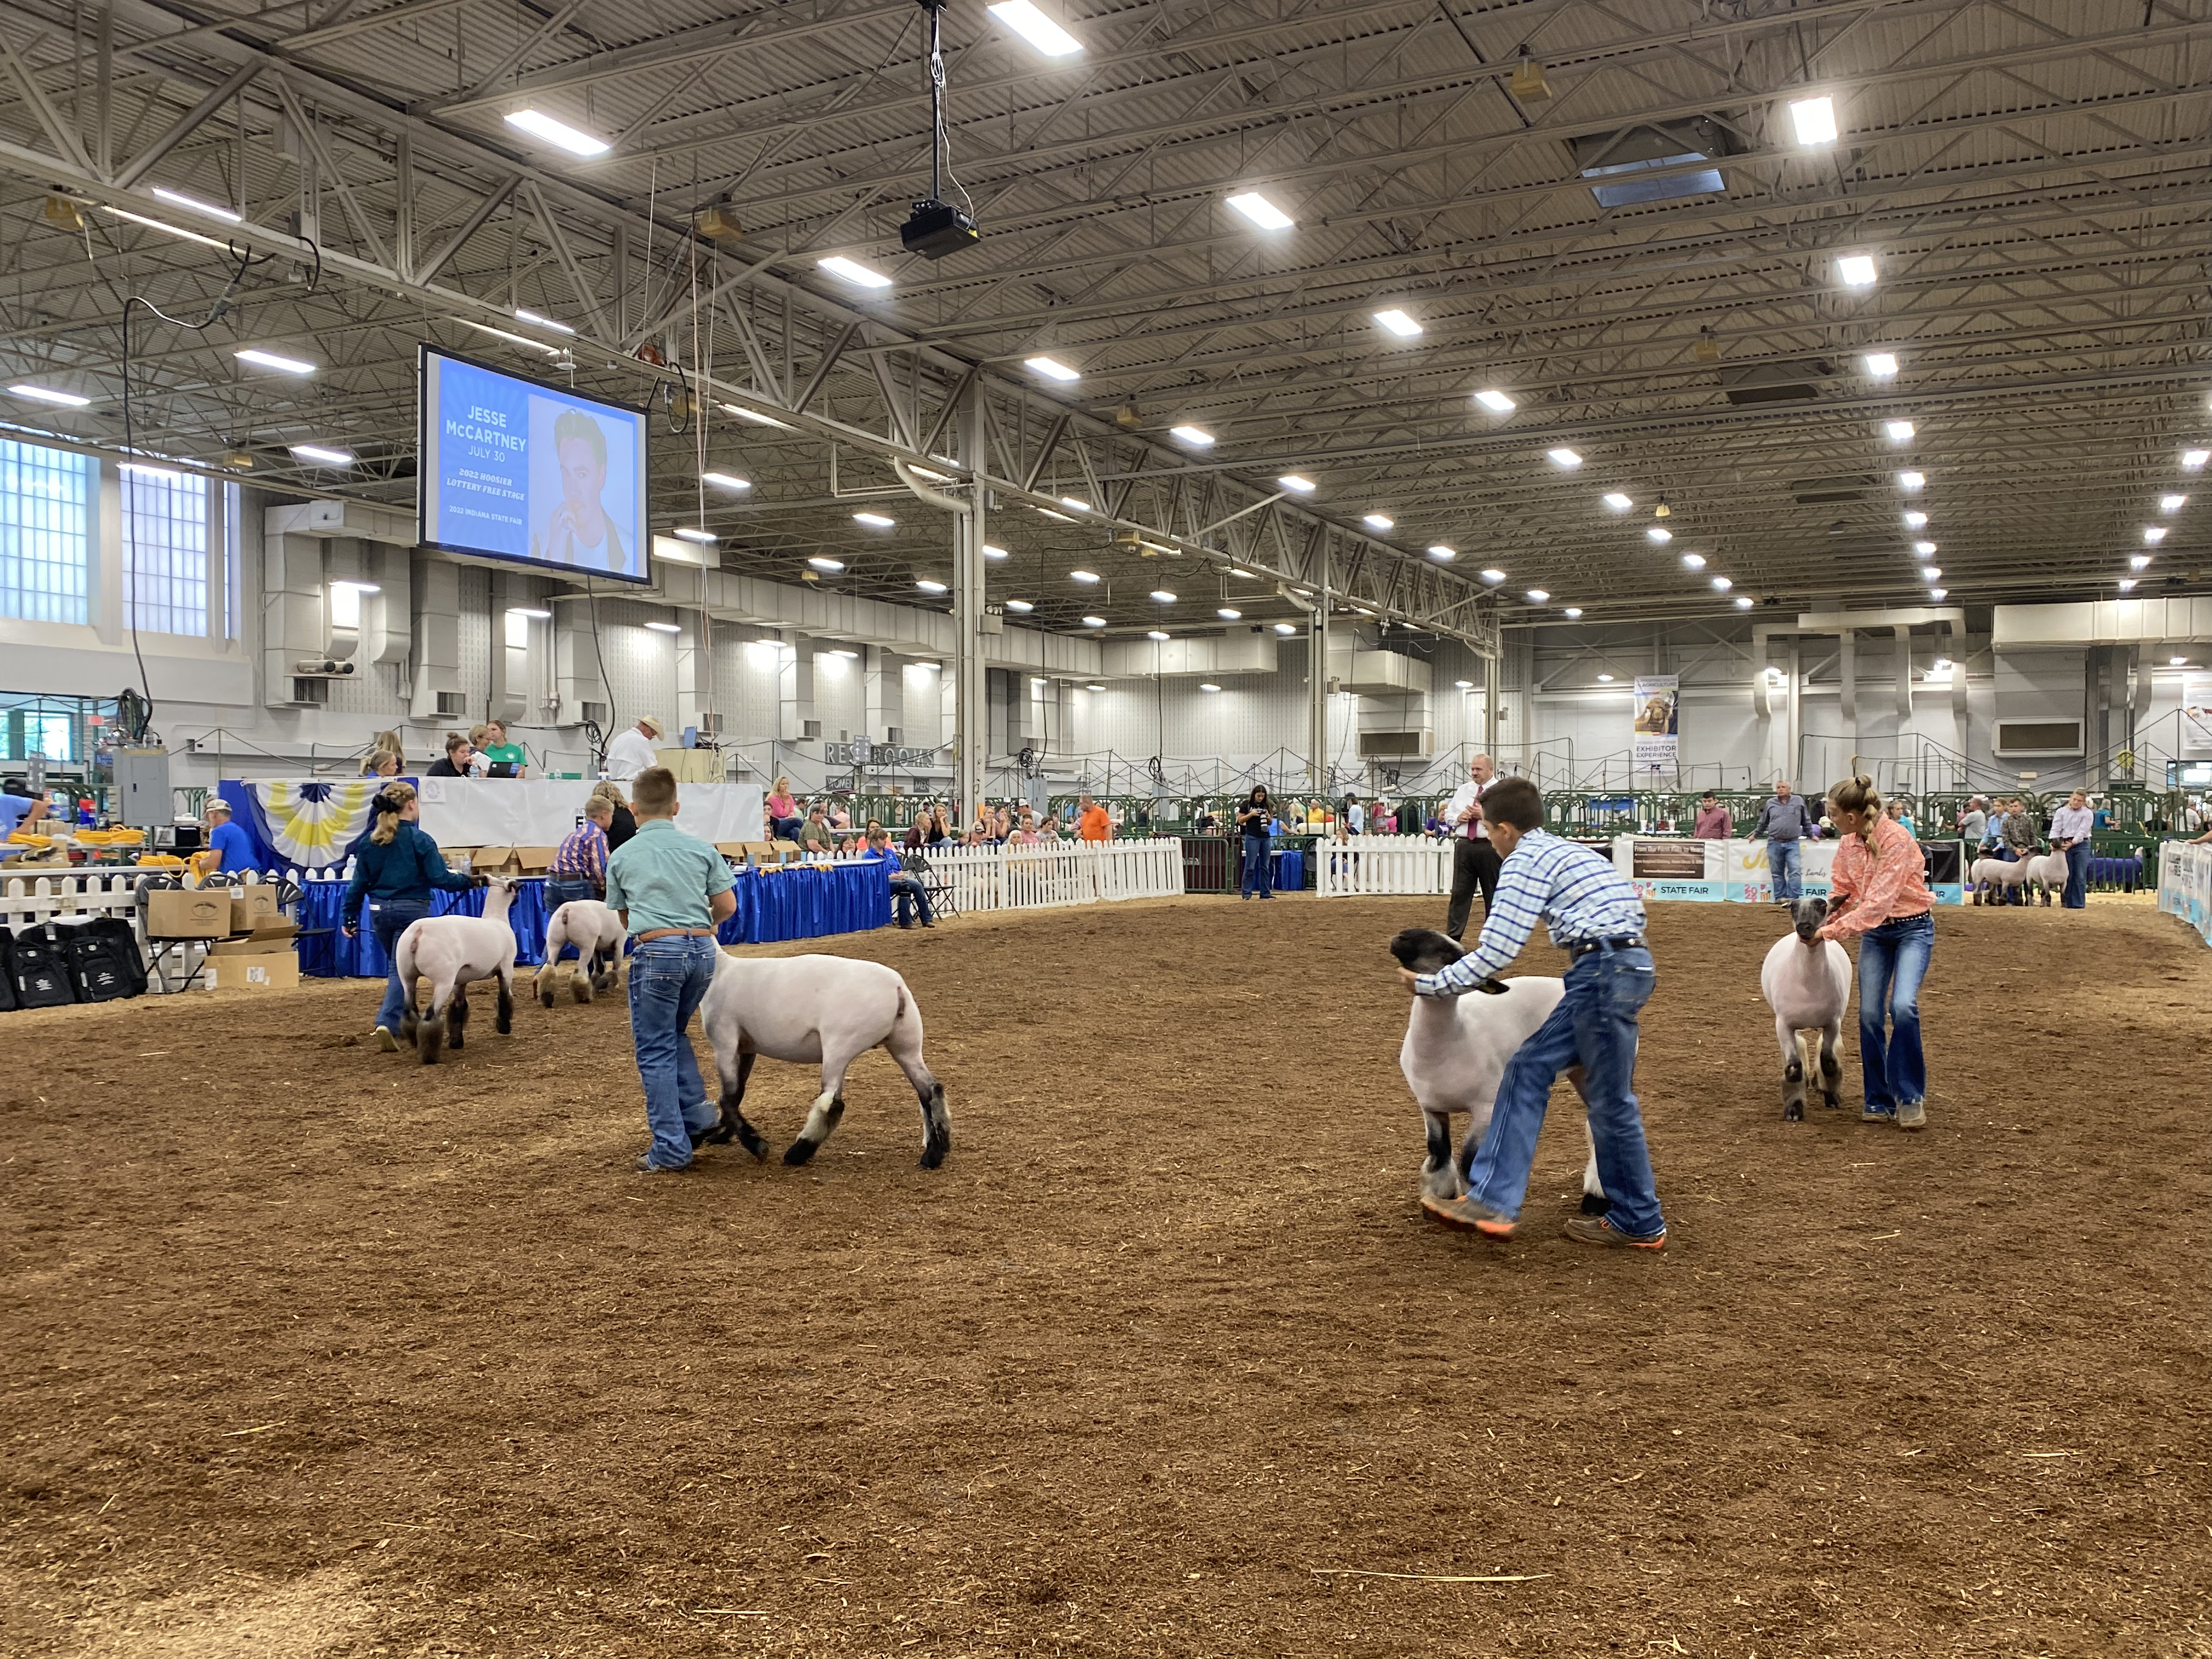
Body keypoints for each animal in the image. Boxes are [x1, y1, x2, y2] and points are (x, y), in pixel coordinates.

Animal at [394, 878, 518, 1064]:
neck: (497, 918)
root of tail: (419, 931)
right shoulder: (506, 969)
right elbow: (504, 998)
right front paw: (504, 1027)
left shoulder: (461, 980)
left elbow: (458, 1007)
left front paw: (456, 1042)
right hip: (443, 980)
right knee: (430, 1014)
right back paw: (430, 1056)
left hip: (407, 976)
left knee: (409, 1011)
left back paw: (416, 1042)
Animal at [535, 899, 625, 1006]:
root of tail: (567, 911)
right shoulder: (620, 943)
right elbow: (616, 967)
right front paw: (609, 985)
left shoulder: (597, 947)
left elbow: (600, 966)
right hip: (586, 945)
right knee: (579, 972)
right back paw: (584, 998)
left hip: (554, 941)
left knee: (548, 967)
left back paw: (547, 997)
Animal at [699, 952, 949, 1169]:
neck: (721, 969)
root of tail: (897, 988)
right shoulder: (747, 1048)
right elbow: (737, 1094)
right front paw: (721, 1134)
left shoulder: (725, 1042)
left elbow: (728, 1098)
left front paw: (755, 1144)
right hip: (906, 1046)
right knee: (930, 1090)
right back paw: (934, 1153)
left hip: (839, 1046)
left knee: (833, 1103)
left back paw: (798, 1152)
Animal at [1387, 929, 1605, 1214]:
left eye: (1451, 954)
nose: (1401, 937)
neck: (1453, 1039)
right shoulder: (1431, 1107)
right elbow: (1439, 1154)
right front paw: (1440, 1196)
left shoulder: (1486, 1108)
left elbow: (1468, 1160)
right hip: (1577, 1072)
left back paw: (1596, 1197)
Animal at [1759, 896, 1853, 1120]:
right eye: (1793, 907)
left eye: (1823, 906)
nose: (1804, 927)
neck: (1808, 984)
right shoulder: (1783, 1024)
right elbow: (1794, 1066)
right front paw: (1794, 1109)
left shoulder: (1832, 1022)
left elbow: (1828, 1060)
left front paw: (1832, 1097)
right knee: (1800, 1045)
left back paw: (1819, 1083)